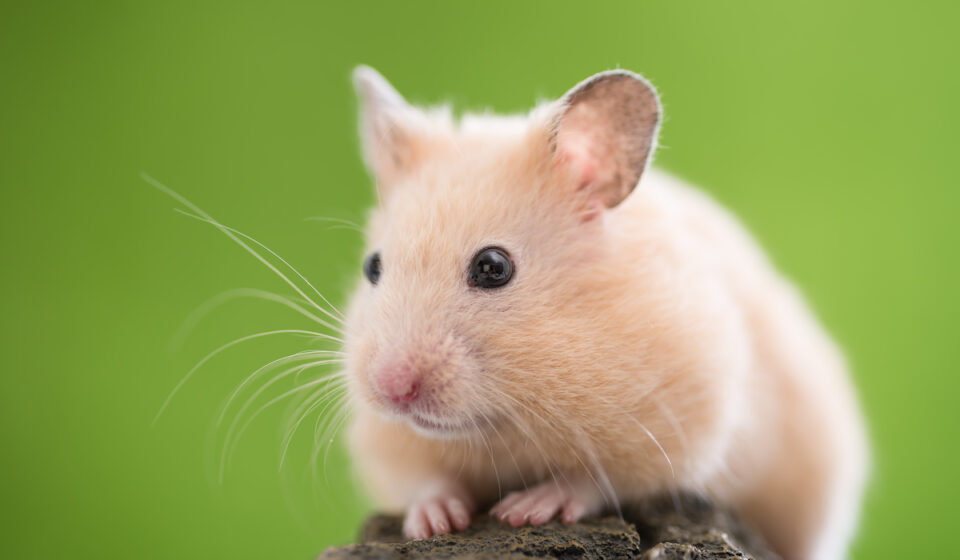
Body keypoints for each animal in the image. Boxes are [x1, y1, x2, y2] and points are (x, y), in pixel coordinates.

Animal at [342, 66, 868, 560]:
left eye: (493, 267)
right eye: (372, 266)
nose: (392, 389)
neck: (505, 424)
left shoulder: (686, 418)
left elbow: (600, 479)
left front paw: (525, 510)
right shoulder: (391, 444)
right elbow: (425, 479)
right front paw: (433, 522)